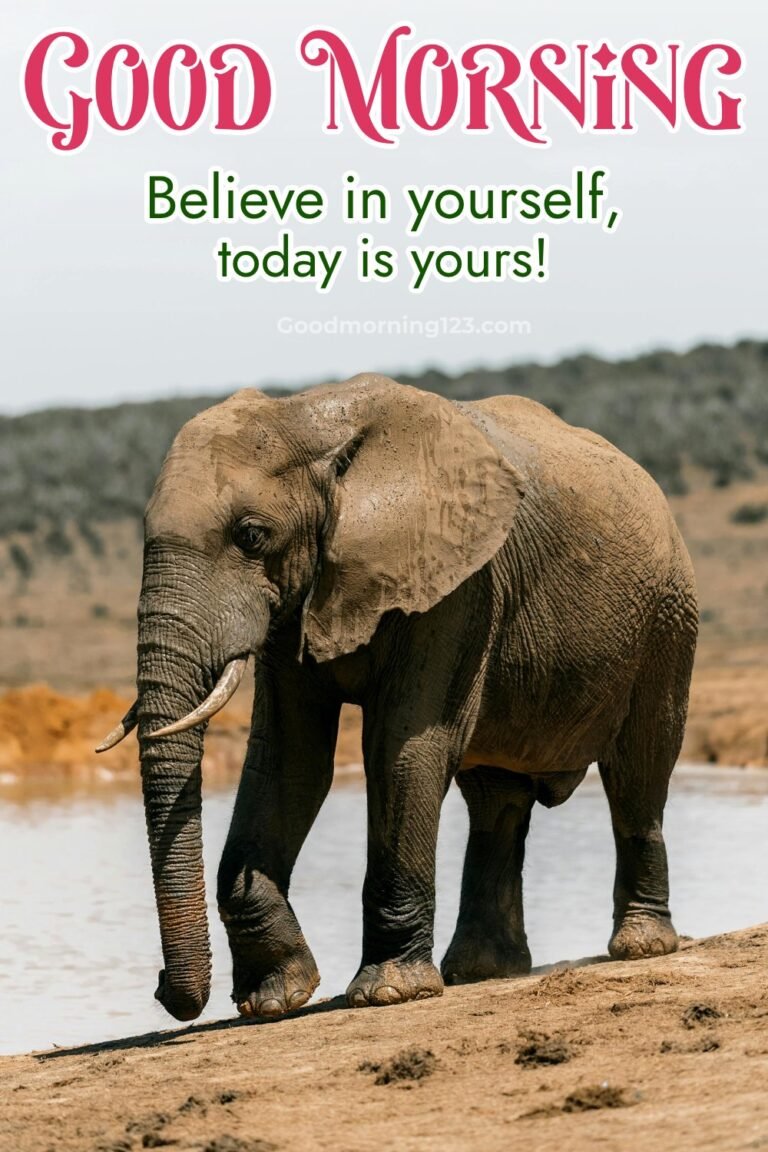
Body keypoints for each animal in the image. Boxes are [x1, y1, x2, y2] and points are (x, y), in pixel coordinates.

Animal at [98, 373, 698, 1023]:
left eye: (251, 536)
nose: (163, 990)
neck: (307, 418)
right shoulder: (300, 602)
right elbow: (289, 761)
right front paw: (274, 1001)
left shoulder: (457, 586)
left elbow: (402, 748)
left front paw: (387, 993)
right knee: (496, 802)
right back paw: (480, 971)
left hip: (668, 618)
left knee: (638, 773)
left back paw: (640, 946)